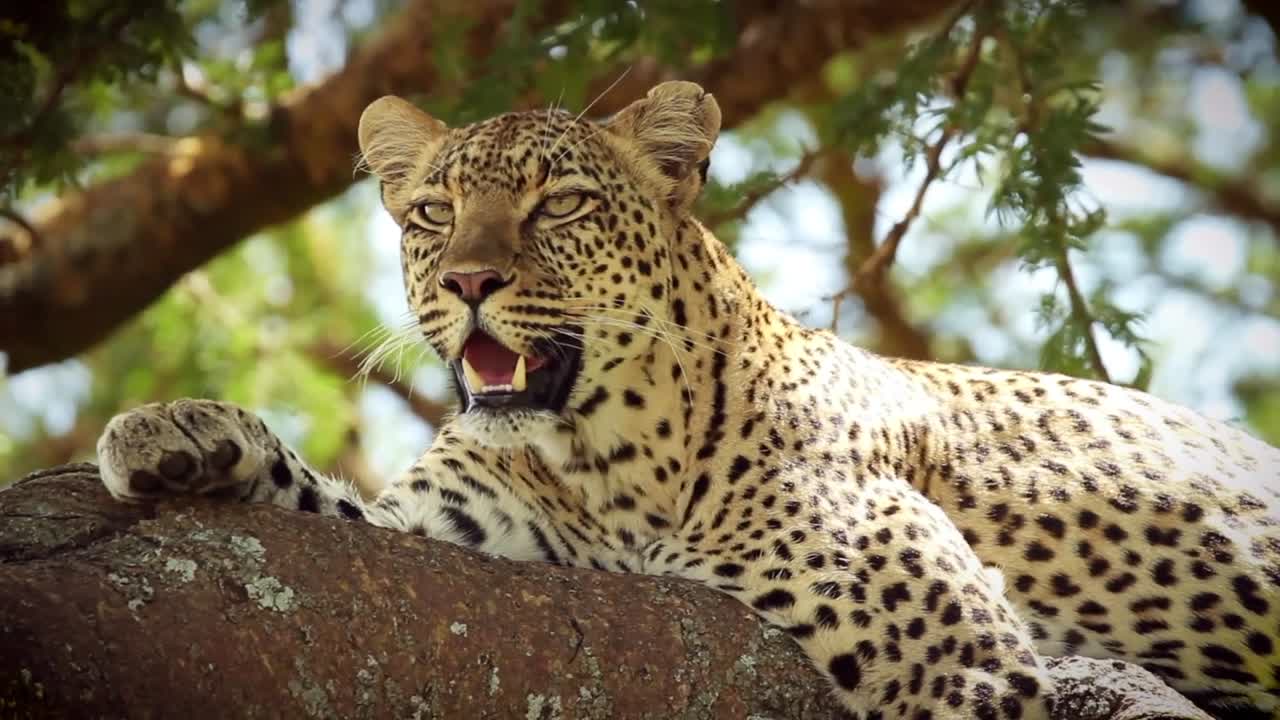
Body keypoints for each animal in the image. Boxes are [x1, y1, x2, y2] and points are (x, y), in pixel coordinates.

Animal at [96, 81, 1280, 719]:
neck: (609, 460)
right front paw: (177, 432)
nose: (466, 281)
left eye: (560, 205)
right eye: (433, 212)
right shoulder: (452, 538)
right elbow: (337, 509)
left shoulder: (959, 663)